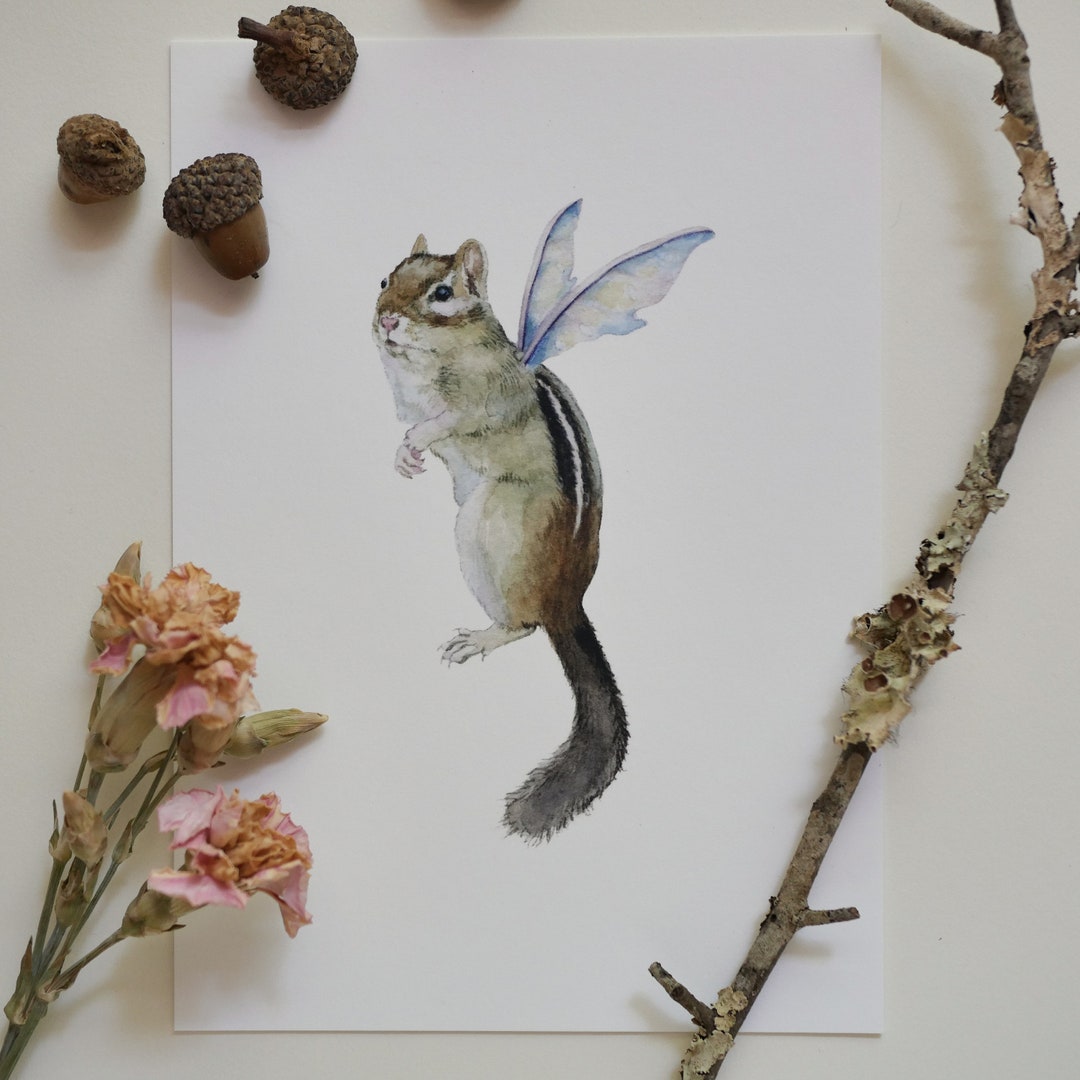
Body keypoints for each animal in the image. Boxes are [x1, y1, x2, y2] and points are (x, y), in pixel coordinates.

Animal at [373, 234, 628, 842]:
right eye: (383, 280)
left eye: (443, 294)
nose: (386, 318)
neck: (427, 356)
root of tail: (566, 603)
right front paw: (403, 454)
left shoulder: (486, 399)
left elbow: (450, 420)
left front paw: (420, 438)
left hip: (486, 529)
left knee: (525, 625)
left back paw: (481, 637)